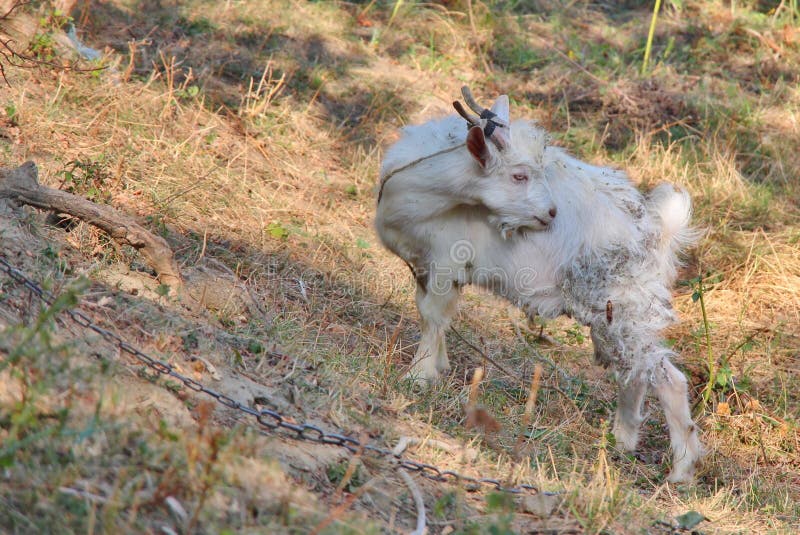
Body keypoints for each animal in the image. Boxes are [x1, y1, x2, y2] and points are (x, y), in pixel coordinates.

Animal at [375, 87, 703, 482]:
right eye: (519, 176)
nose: (551, 214)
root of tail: (659, 229)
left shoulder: (445, 261)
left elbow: (432, 316)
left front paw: (417, 377)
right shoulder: (428, 267)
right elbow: (433, 314)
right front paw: (438, 366)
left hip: (628, 302)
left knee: (667, 378)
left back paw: (681, 470)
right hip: (615, 314)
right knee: (634, 371)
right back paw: (621, 442)